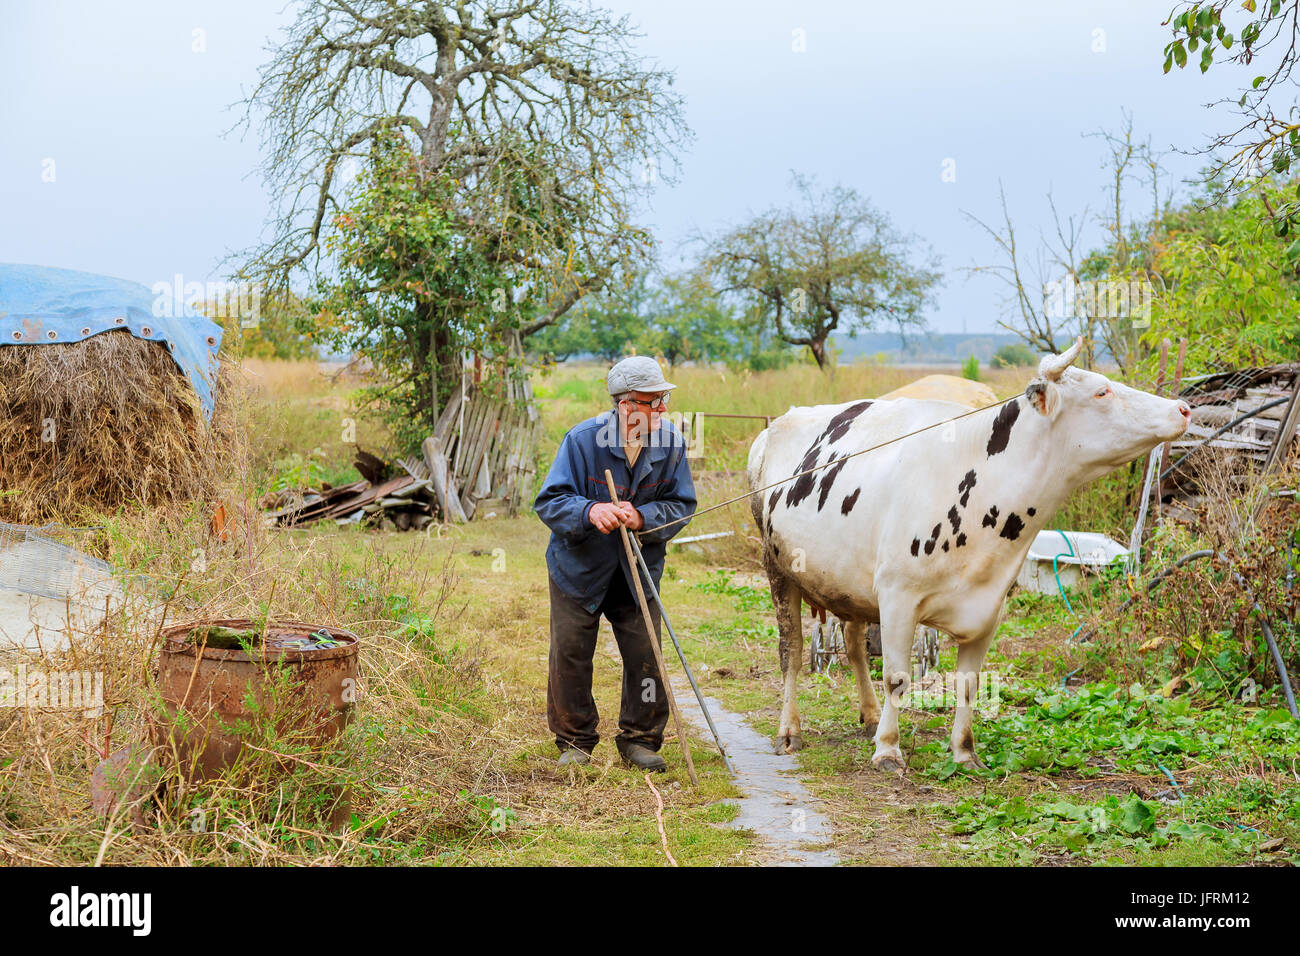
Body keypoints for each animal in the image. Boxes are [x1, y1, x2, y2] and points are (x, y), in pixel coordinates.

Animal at [746, 338, 1190, 772]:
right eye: (1102, 391)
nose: (1183, 408)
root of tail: (775, 427)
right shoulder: (897, 596)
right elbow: (897, 677)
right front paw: (889, 750)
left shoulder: (989, 608)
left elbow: (968, 684)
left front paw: (963, 752)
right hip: (777, 569)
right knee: (792, 651)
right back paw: (790, 730)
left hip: (848, 584)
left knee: (853, 644)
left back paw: (870, 715)